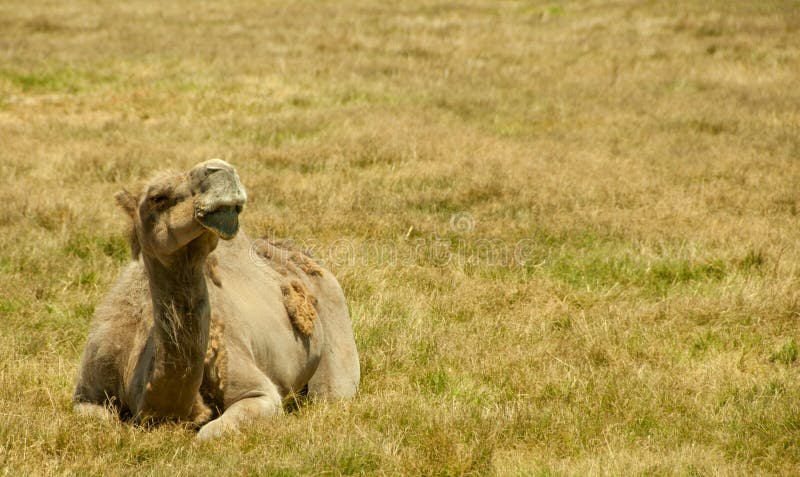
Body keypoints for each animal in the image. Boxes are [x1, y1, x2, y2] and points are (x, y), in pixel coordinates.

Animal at [73, 159, 360, 440]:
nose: (221, 168)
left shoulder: (256, 389)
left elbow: (208, 434)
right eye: (157, 197)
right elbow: (101, 420)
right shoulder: (86, 389)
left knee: (331, 394)